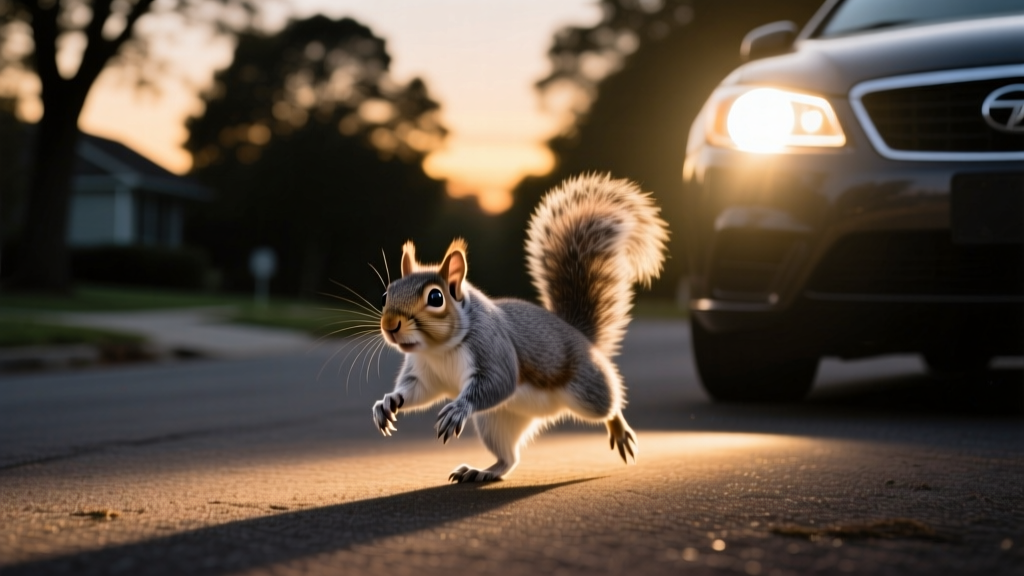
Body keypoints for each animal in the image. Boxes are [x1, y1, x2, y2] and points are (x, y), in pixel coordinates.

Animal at [372, 173, 669, 482]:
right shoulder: (423, 372)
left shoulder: (491, 347)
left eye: (435, 298)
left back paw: (619, 429)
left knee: (608, 404)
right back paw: (482, 471)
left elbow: (499, 381)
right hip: (497, 420)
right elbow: (417, 391)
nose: (390, 325)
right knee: (509, 458)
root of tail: (579, 335)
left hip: (586, 389)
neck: (438, 350)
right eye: (386, 295)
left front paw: (458, 409)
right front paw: (388, 403)